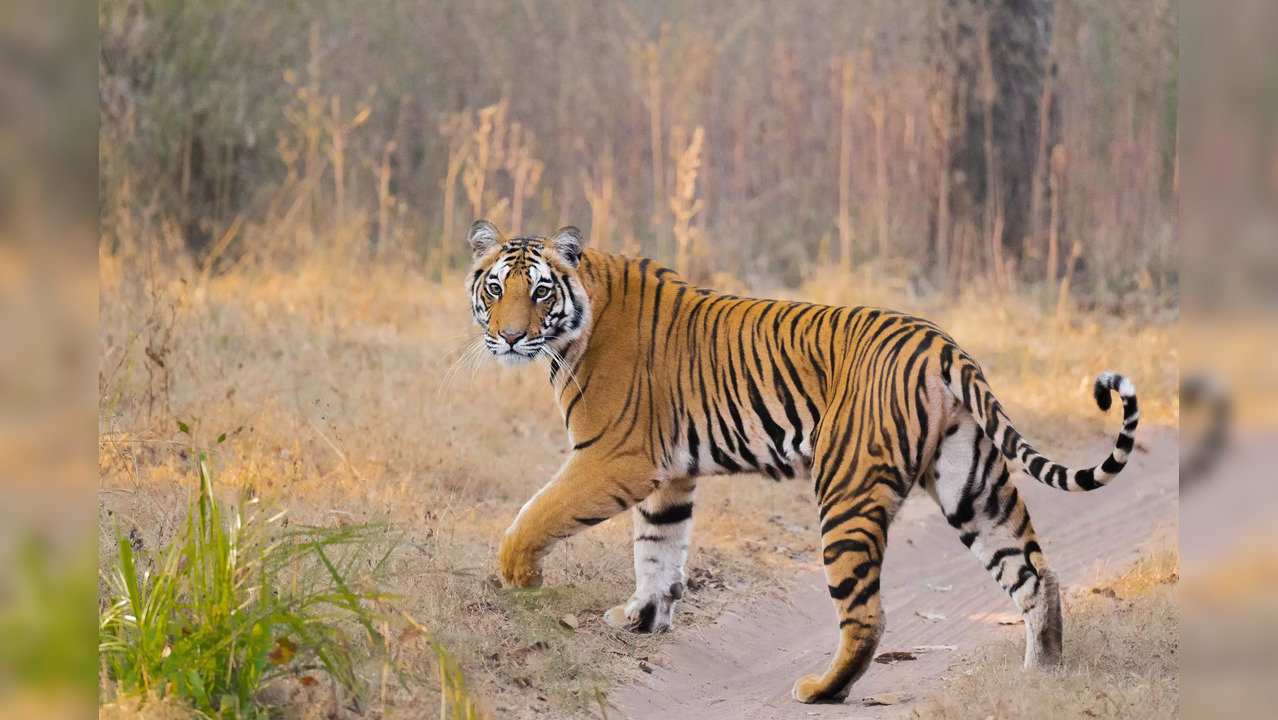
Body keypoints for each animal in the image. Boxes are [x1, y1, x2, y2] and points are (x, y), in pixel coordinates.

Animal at [463, 220, 1140, 703]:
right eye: (495, 288)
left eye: (539, 290)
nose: (510, 336)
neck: (576, 326)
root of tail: (940, 343)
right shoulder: (669, 476)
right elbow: (658, 550)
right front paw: (642, 619)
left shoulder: (613, 458)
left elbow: (537, 515)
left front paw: (520, 579)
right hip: (971, 485)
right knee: (1035, 574)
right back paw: (1042, 678)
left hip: (846, 491)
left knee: (867, 615)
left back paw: (820, 690)